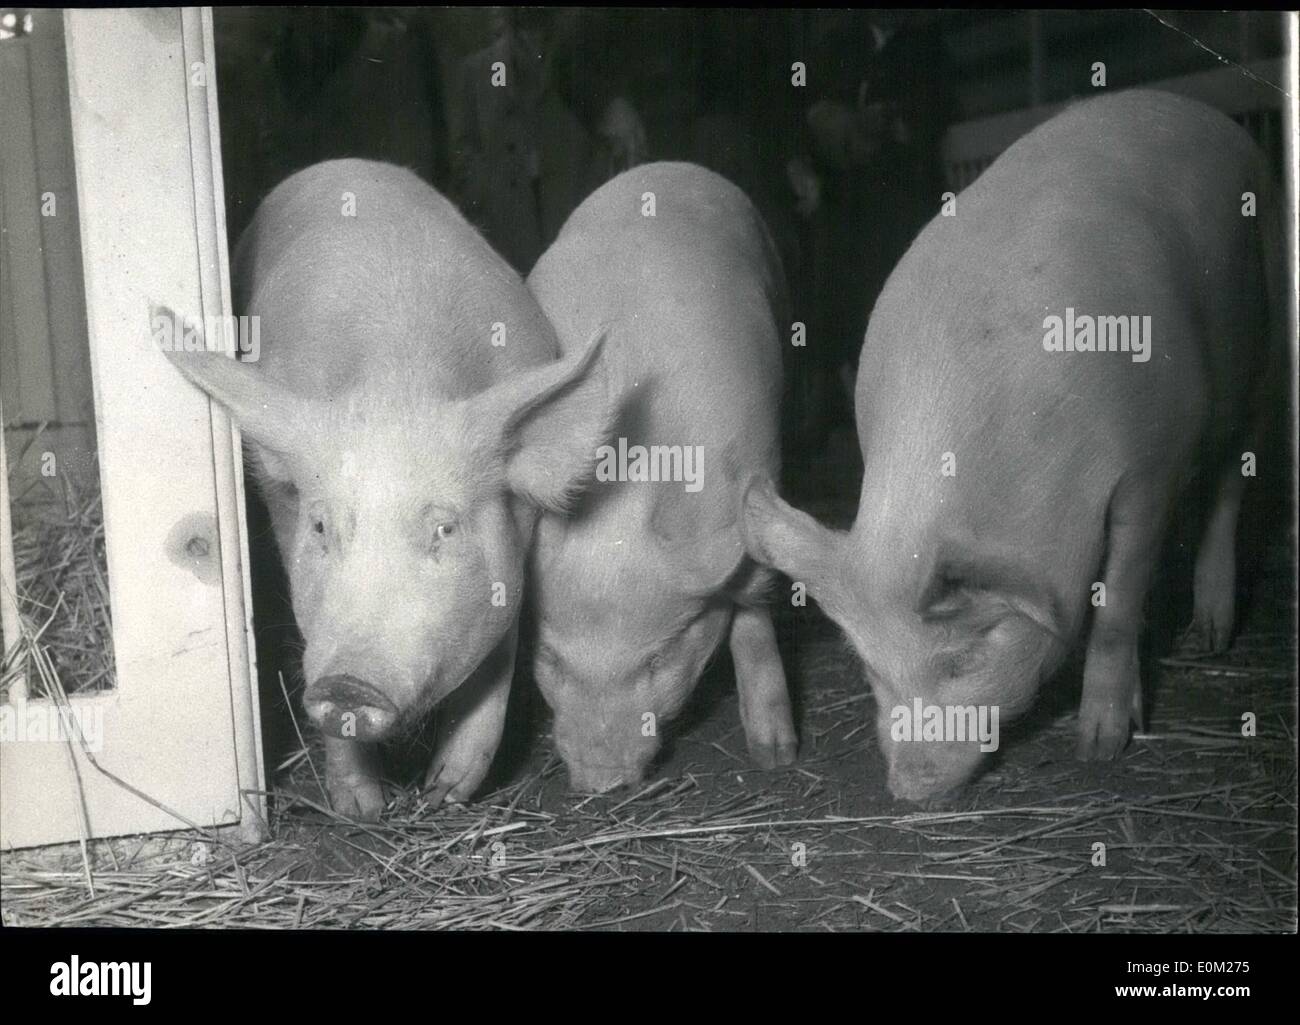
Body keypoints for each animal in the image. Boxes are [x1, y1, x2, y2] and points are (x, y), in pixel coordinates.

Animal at [159, 159, 614, 819]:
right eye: (321, 526)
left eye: (444, 528)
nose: (349, 684)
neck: (399, 382)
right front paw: (361, 810)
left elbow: (500, 653)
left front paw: (445, 792)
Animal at [525, 162, 797, 791]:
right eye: (550, 658)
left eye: (657, 660)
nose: (600, 781)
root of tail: (669, 167)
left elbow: (752, 610)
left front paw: (777, 757)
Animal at [741, 91, 1284, 803]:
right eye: (869, 666)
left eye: (966, 656)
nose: (908, 788)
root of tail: (1203, 110)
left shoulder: (1151, 461)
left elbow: (1119, 601)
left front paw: (1099, 747)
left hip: (1267, 335)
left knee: (1230, 484)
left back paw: (1207, 639)